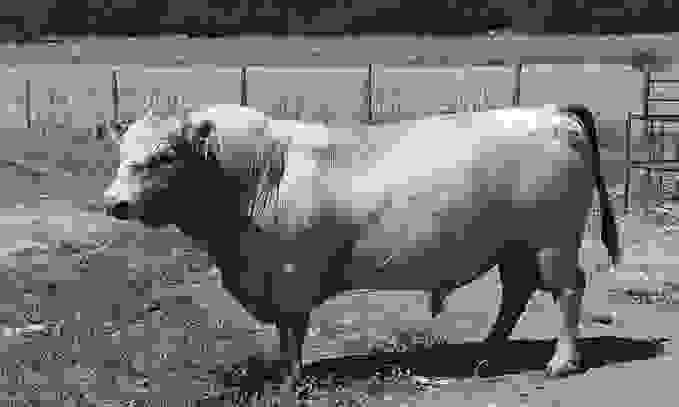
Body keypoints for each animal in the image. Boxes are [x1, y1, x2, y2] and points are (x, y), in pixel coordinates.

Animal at [101, 103, 620, 404]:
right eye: (122, 152)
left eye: (165, 154)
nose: (114, 202)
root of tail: (553, 112)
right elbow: (286, 334)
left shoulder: (289, 274)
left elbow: (293, 331)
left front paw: (292, 381)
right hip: (516, 246)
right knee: (516, 291)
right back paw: (487, 355)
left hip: (551, 241)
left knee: (568, 290)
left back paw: (562, 361)